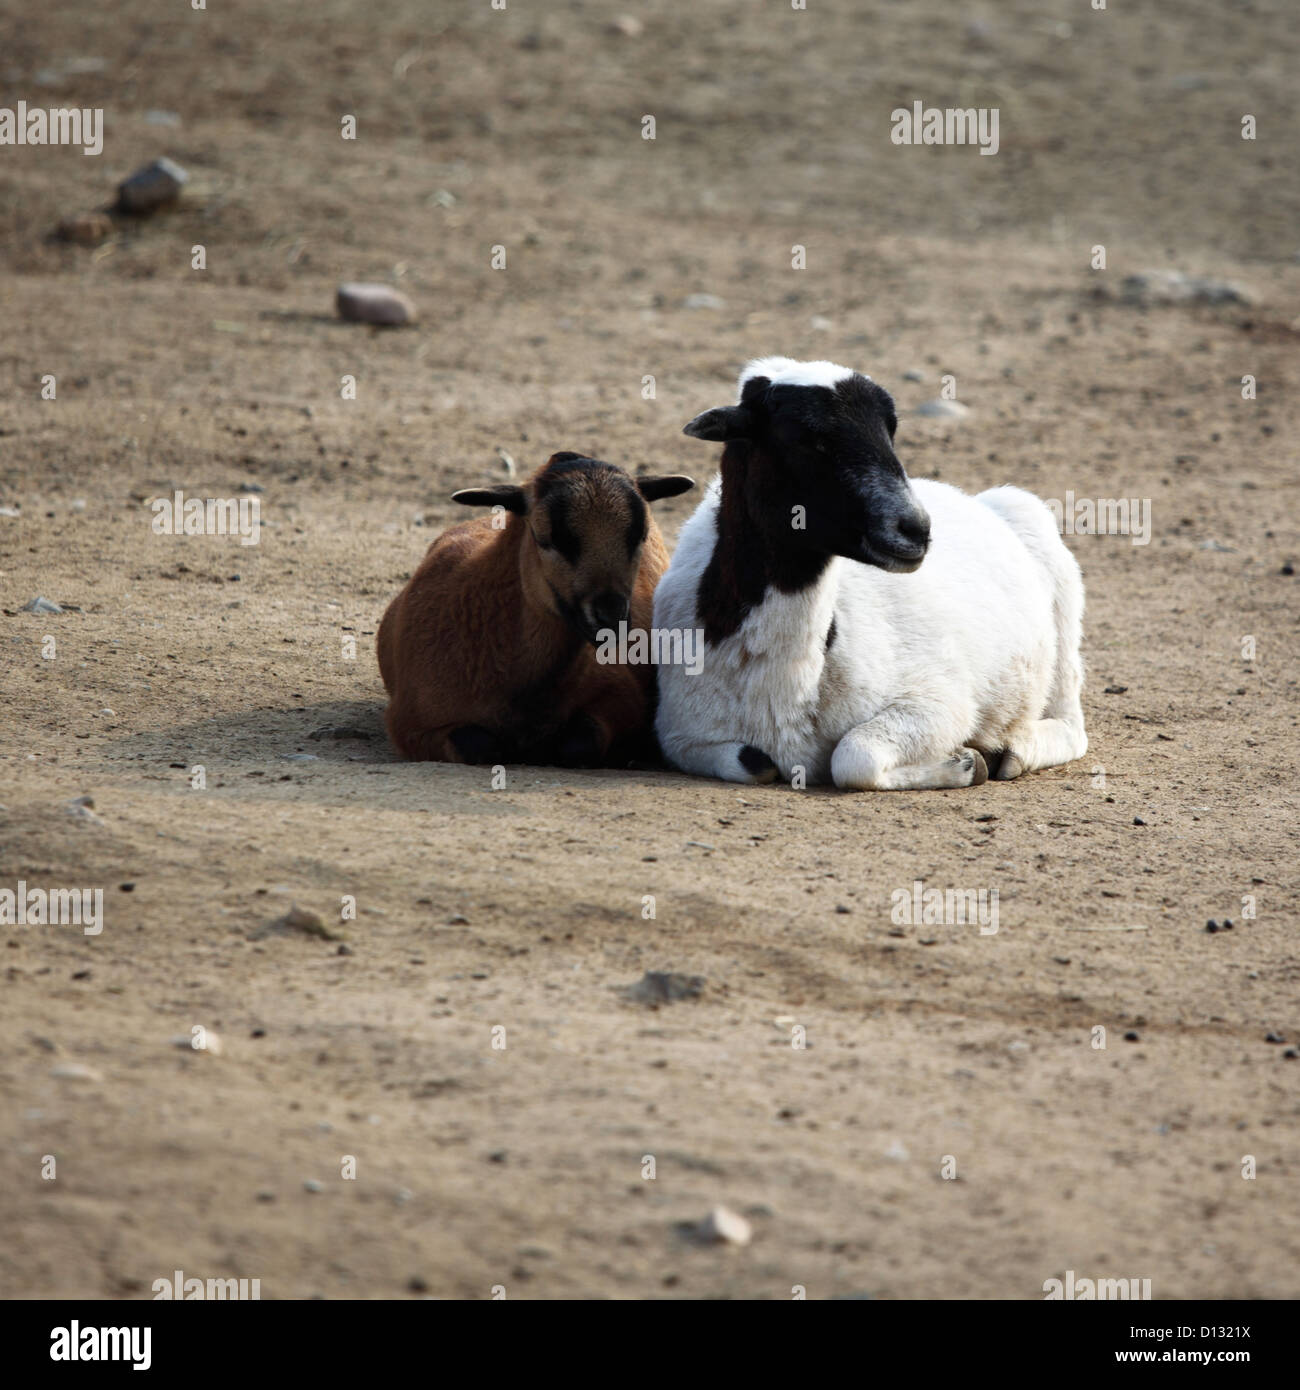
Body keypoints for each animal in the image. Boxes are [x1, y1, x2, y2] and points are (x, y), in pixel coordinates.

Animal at [378, 452, 694, 766]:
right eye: (547, 538)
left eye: (640, 535)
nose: (610, 616)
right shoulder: (411, 725)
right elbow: (479, 746)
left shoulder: (621, 699)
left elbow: (577, 744)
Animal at [652, 357, 1087, 790]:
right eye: (808, 438)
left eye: (890, 431)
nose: (916, 529)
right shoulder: (681, 737)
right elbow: (752, 762)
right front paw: (961, 762)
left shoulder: (938, 702)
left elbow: (853, 757)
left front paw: (964, 762)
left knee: (1070, 724)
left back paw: (1015, 750)